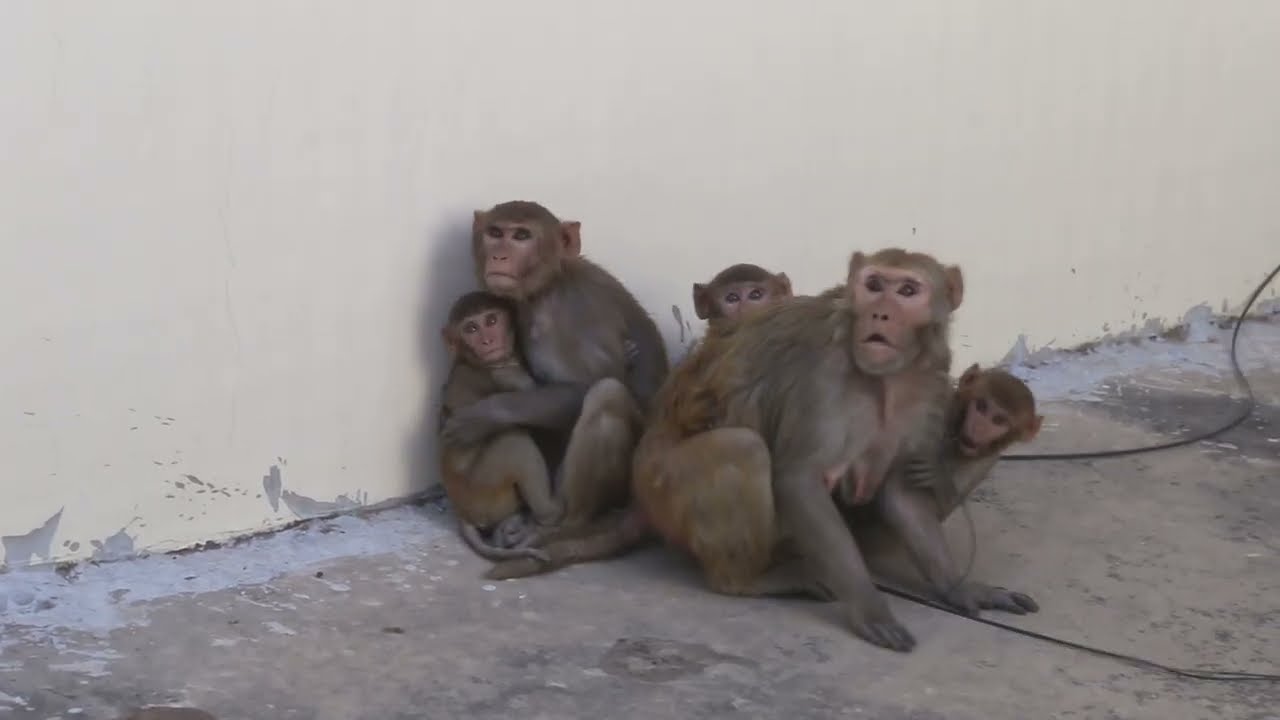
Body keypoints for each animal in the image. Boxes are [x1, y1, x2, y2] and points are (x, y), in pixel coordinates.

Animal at [437, 290, 563, 564]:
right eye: (471, 328)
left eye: (491, 320)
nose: (487, 340)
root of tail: (462, 512)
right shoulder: (504, 377)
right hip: (485, 495)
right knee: (513, 439)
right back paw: (548, 512)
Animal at [631, 248, 974, 653]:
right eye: (874, 285)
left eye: (907, 290)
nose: (880, 314)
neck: (885, 379)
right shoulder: (824, 373)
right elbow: (799, 481)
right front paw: (868, 606)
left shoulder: (932, 379)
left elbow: (901, 493)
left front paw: (959, 586)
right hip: (662, 490)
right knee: (743, 448)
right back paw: (744, 580)